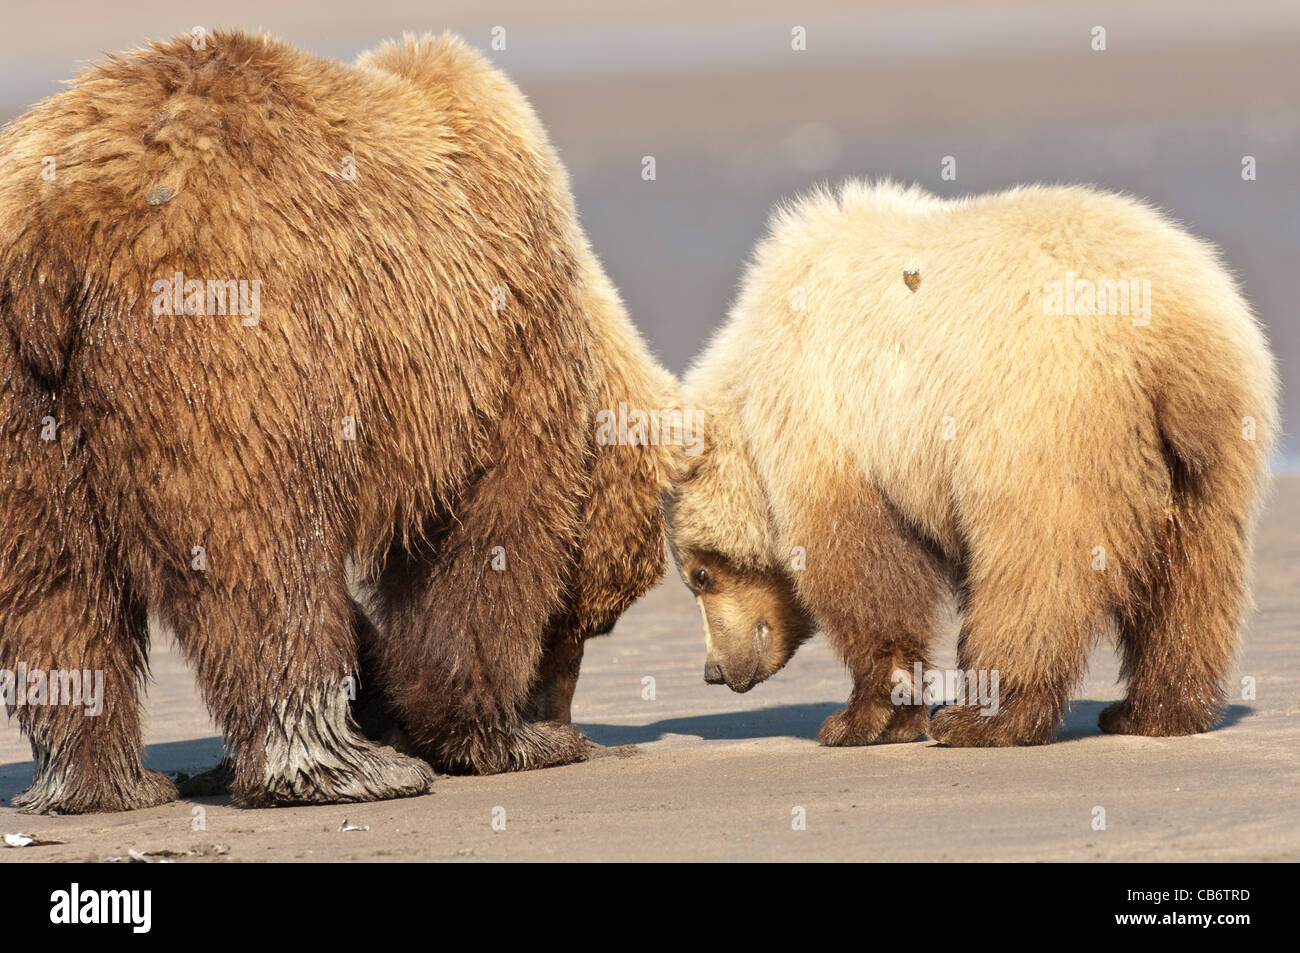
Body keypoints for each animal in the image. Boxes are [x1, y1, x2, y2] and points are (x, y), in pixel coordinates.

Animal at [0, 30, 678, 813]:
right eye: (595, 620)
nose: (558, 704)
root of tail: (60, 221)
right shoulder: (502, 345)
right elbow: (487, 541)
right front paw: (508, 736)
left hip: (26, 401)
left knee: (55, 581)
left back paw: (109, 782)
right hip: (232, 327)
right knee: (266, 548)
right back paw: (343, 767)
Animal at [667, 180, 1278, 748]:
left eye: (701, 573)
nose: (715, 670)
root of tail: (1170, 335)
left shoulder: (834, 422)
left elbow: (865, 573)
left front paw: (857, 719)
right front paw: (893, 715)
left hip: (1041, 421)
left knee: (1033, 569)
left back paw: (984, 718)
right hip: (1210, 449)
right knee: (1191, 578)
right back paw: (1154, 711)